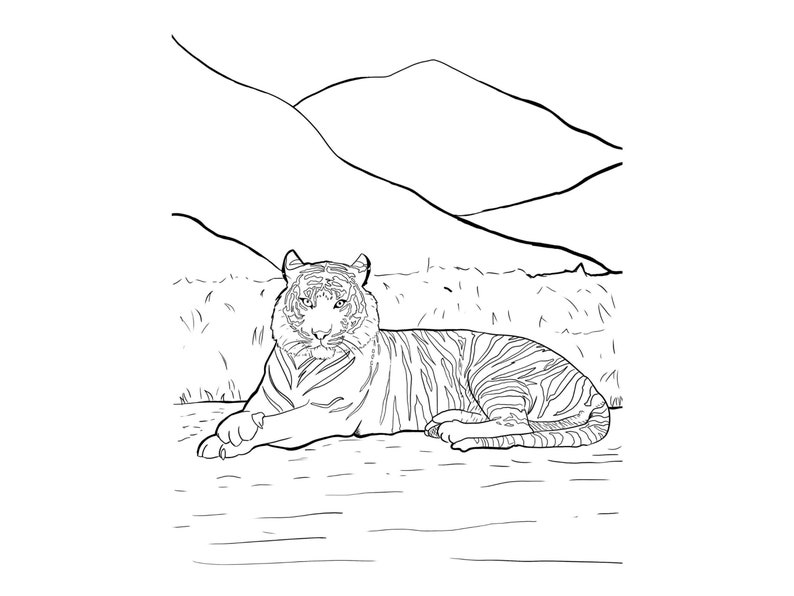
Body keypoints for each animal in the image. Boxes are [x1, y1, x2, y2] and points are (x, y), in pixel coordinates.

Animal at [197, 251, 610, 459]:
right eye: (306, 301)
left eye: (340, 303)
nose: (320, 333)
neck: (304, 362)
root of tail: (590, 385)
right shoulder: (266, 399)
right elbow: (251, 413)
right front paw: (222, 437)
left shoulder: (328, 414)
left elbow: (279, 424)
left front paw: (233, 437)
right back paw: (443, 421)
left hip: (496, 376)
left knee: (514, 425)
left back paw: (457, 432)